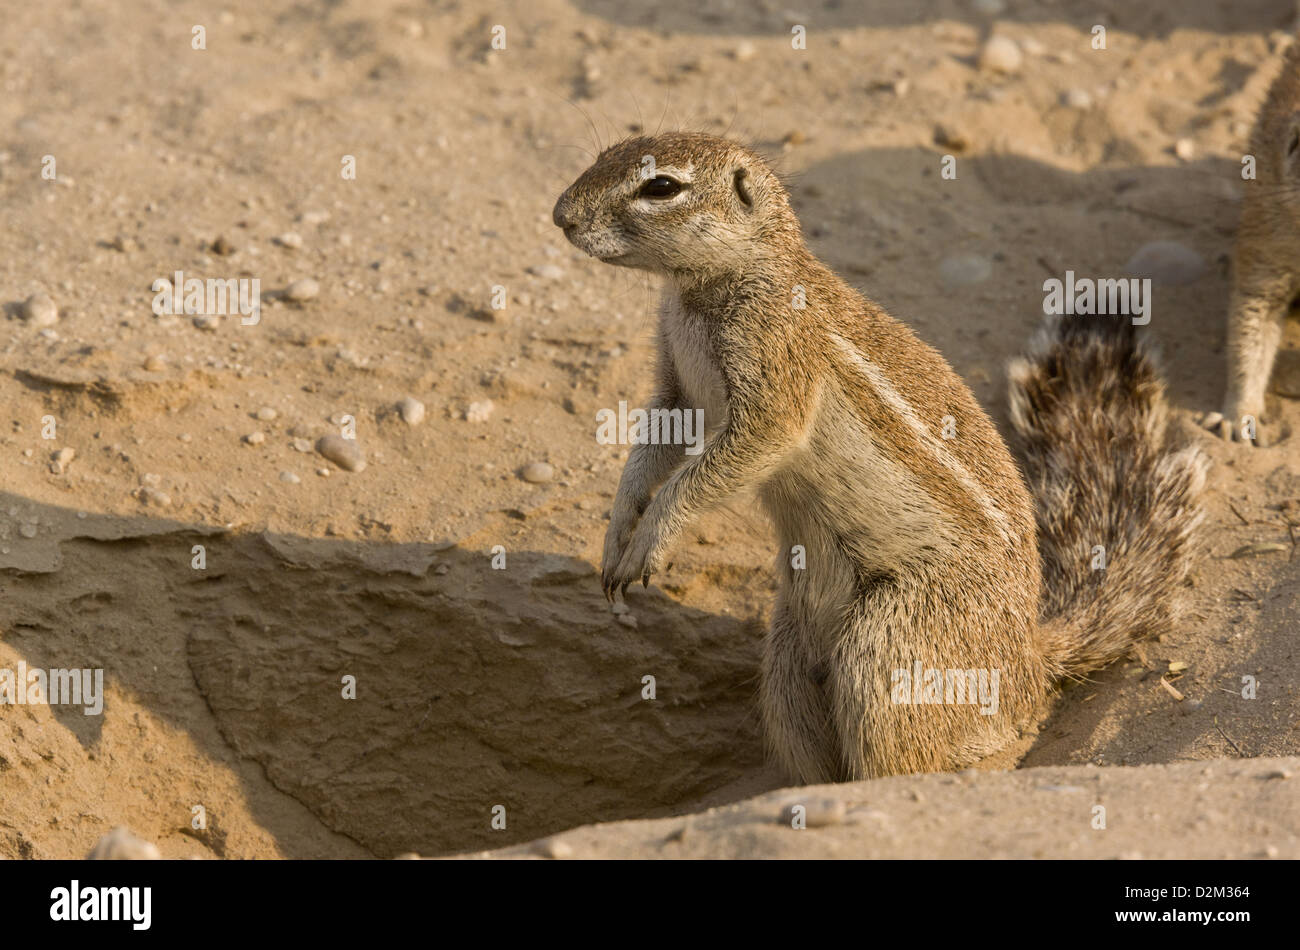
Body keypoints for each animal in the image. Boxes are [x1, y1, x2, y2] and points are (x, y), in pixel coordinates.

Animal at [553, 132, 1208, 782]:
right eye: (606, 151)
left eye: (661, 186)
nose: (562, 217)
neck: (704, 288)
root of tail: (1030, 658)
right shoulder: (675, 387)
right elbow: (653, 450)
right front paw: (619, 530)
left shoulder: (776, 368)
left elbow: (728, 459)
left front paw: (653, 536)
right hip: (788, 664)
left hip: (890, 646)